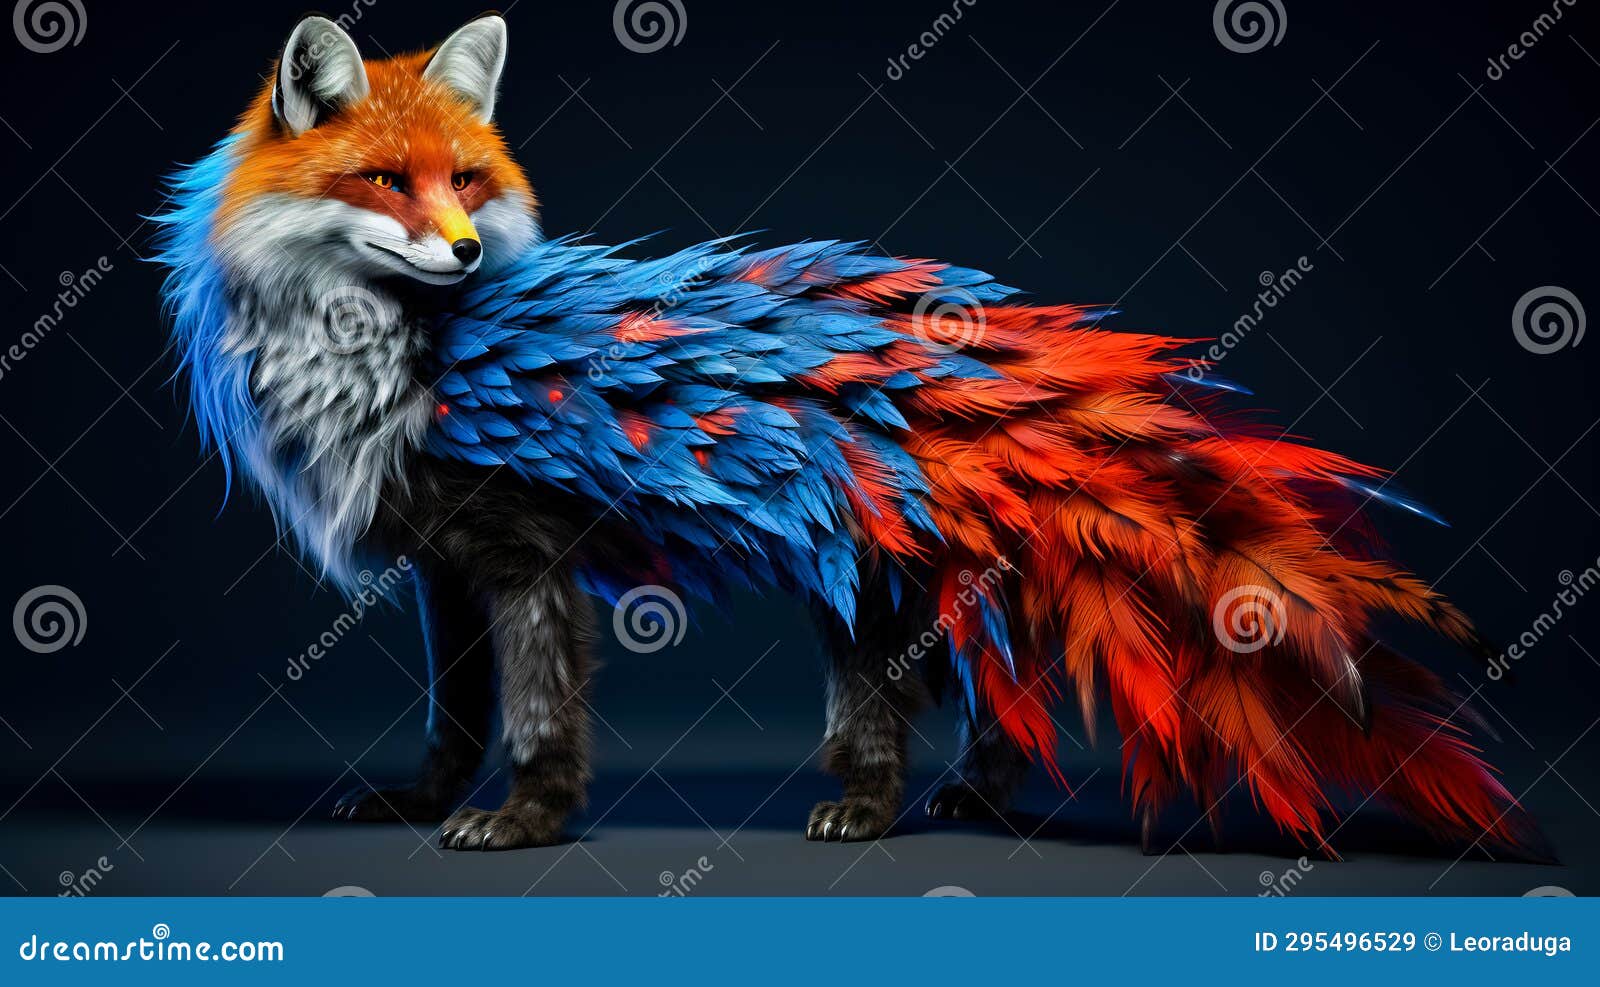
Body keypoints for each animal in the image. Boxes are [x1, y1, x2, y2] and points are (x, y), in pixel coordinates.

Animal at [156, 13, 1541, 856]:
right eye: (385, 182)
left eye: (468, 184)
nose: (459, 253)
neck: (382, 365)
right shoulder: (444, 567)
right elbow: (453, 714)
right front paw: (421, 798)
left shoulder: (529, 553)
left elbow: (540, 716)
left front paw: (530, 817)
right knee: (993, 702)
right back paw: (966, 796)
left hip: (866, 582)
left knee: (903, 711)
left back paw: (872, 805)